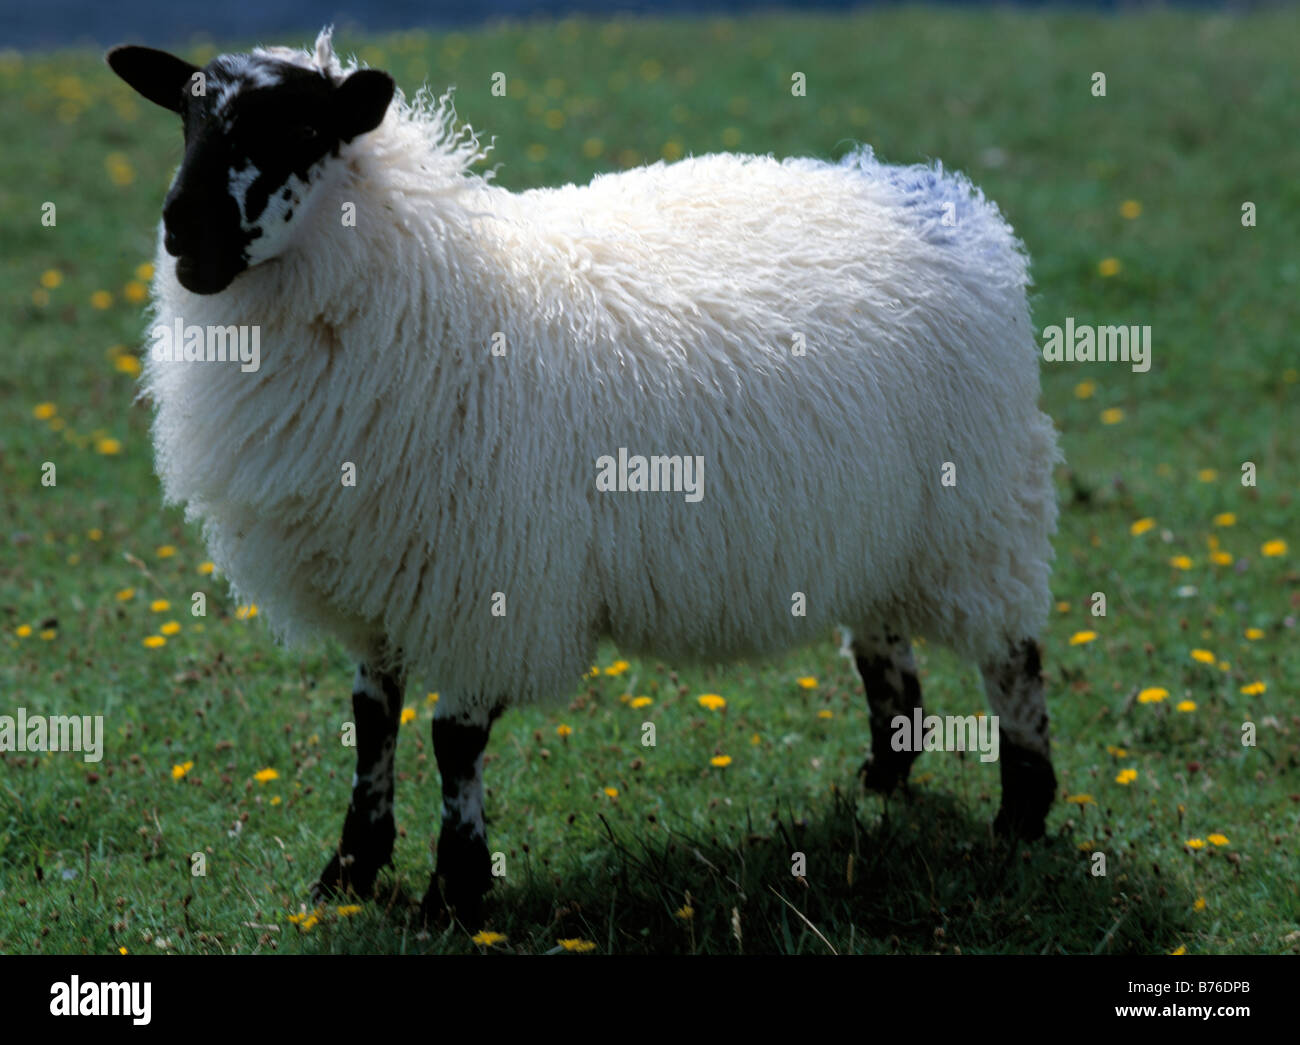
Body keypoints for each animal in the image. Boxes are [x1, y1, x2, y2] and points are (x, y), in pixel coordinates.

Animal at [107, 28, 1061, 928]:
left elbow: (453, 741)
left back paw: (1022, 813)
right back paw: (885, 778)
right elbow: (371, 726)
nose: (184, 231)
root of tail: (931, 193)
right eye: (186, 115)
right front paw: (348, 871)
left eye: (302, 129)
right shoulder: (382, 579)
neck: (417, 281)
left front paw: (454, 894)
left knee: (1012, 654)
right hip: (877, 518)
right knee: (884, 646)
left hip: (977, 510)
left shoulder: (491, 580)